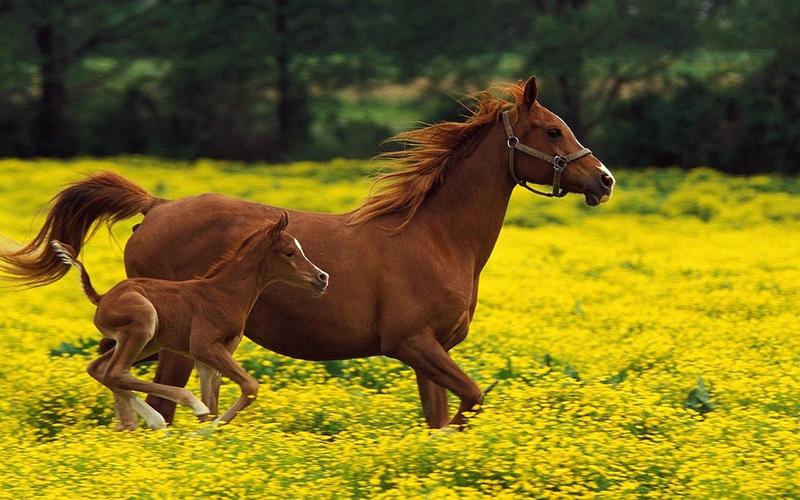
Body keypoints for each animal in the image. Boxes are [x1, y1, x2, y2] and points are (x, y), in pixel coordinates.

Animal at [50, 212, 328, 430]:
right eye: (290, 252)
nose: (322, 277)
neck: (225, 294)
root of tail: (102, 297)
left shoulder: (211, 356)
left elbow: (215, 402)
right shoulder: (203, 347)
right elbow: (249, 386)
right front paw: (204, 430)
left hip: (148, 342)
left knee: (100, 369)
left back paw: (151, 421)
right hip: (143, 323)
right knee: (116, 372)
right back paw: (180, 409)